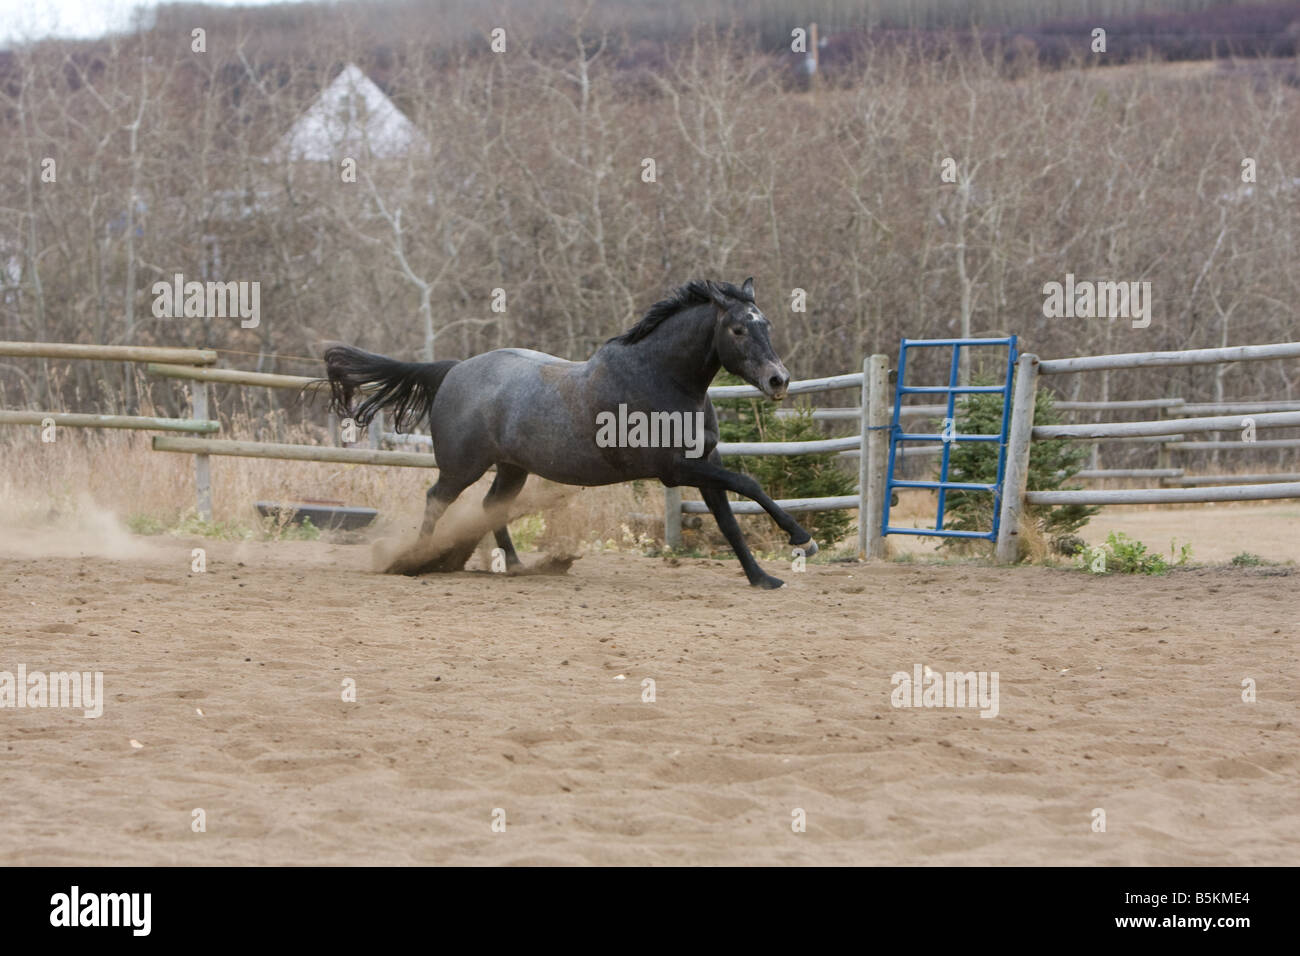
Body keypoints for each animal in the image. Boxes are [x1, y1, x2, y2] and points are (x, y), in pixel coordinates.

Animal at [320, 277, 818, 588]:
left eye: (765, 323)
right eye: (737, 328)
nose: (779, 380)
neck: (662, 377)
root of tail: (454, 370)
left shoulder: (704, 463)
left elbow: (730, 519)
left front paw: (763, 578)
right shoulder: (675, 469)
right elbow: (749, 484)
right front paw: (802, 540)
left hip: (512, 468)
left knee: (490, 507)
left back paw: (517, 567)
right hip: (462, 466)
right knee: (437, 500)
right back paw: (416, 560)